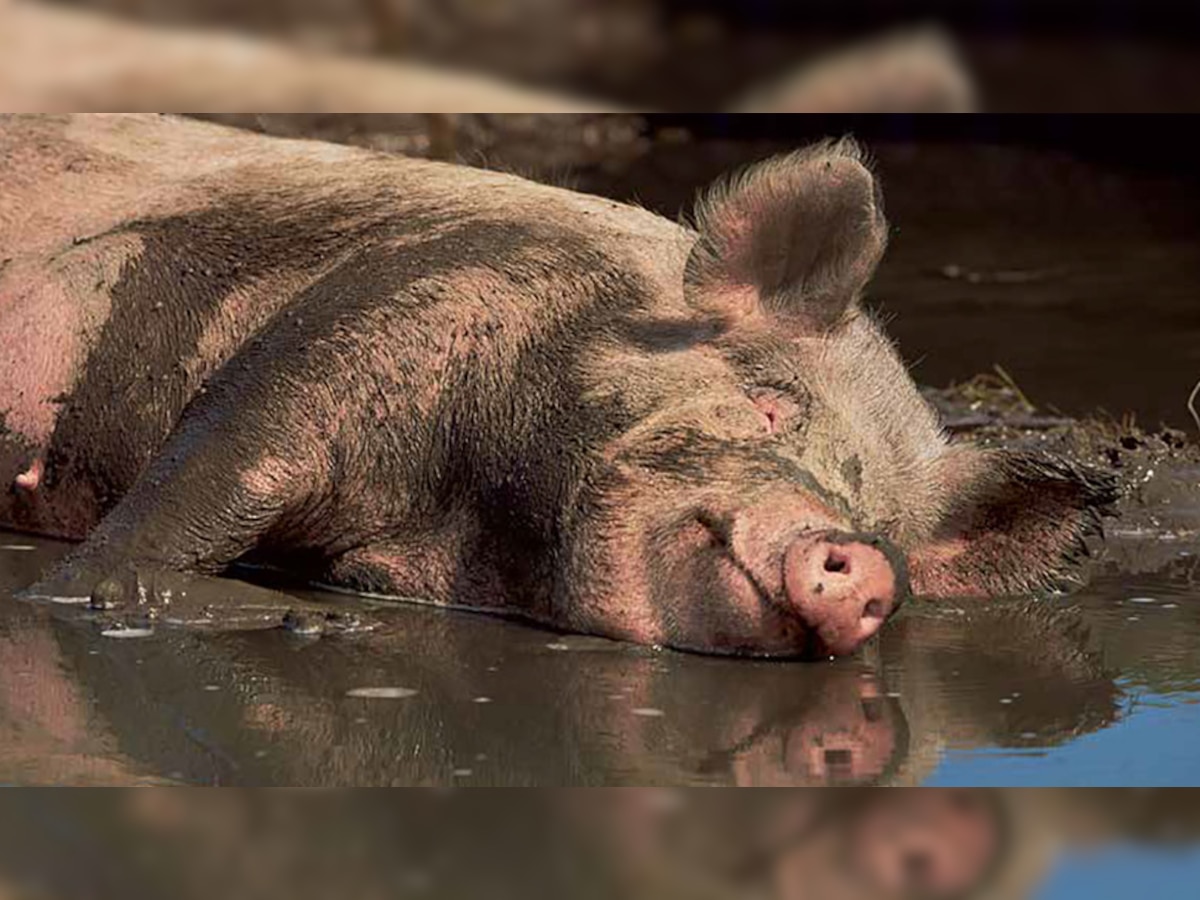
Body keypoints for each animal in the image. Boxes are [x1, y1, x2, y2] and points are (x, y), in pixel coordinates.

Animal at [0, 114, 1115, 659]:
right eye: (769, 402)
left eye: (886, 518)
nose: (865, 556)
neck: (468, 526)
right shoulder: (372, 319)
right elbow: (198, 485)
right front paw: (310, 623)